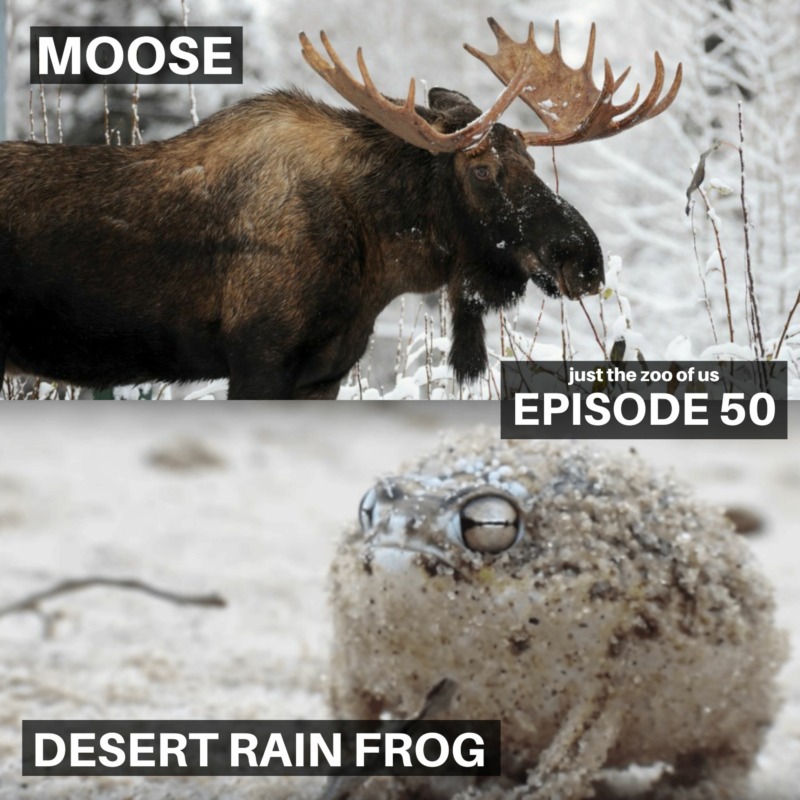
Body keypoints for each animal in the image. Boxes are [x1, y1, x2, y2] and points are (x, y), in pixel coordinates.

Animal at [0, 19, 681, 399]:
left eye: (535, 167)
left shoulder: (323, 374)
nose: (585, 260)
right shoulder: (259, 362)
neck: (377, 261)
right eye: (483, 170)